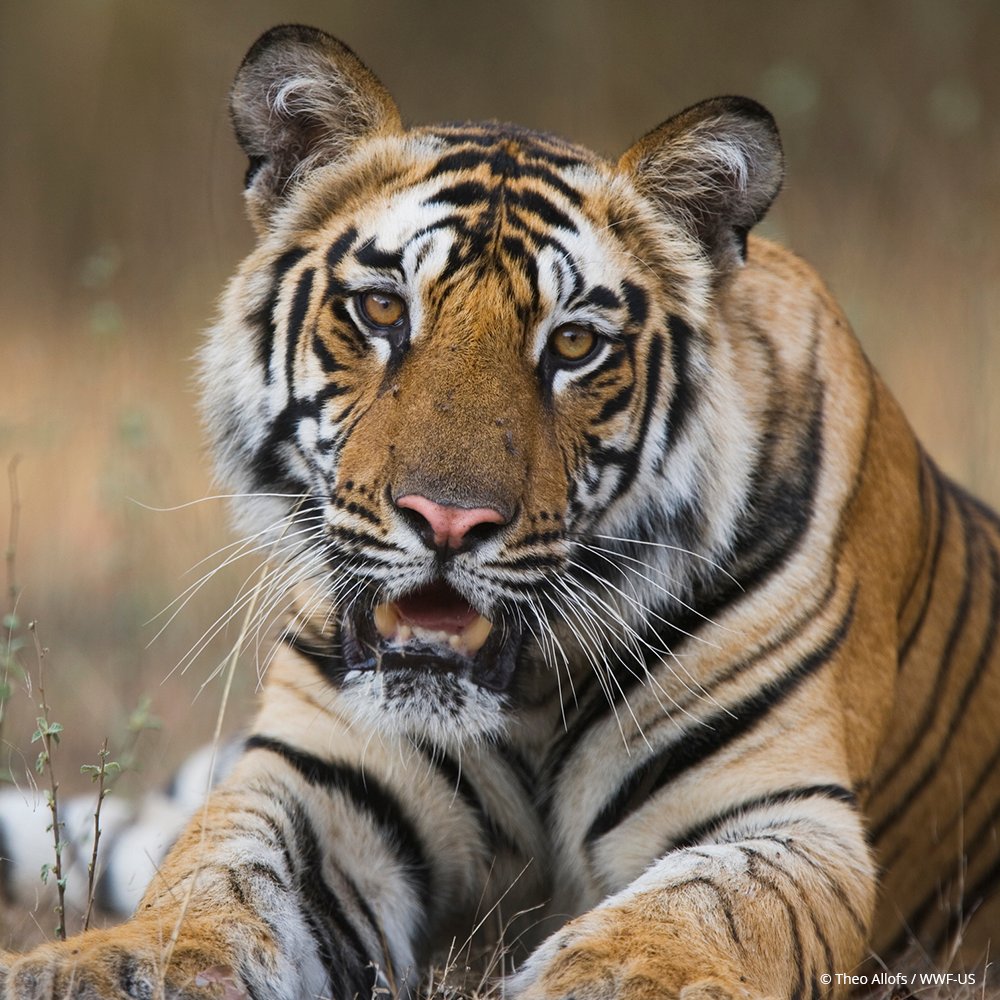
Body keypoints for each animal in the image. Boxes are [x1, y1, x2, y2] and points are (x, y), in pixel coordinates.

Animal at [3, 21, 999, 1000]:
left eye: (573, 343)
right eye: (381, 310)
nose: (447, 522)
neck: (528, 699)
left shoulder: (788, 818)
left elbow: (687, 915)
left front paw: (602, 978)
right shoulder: (317, 781)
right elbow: (208, 887)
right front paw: (98, 967)